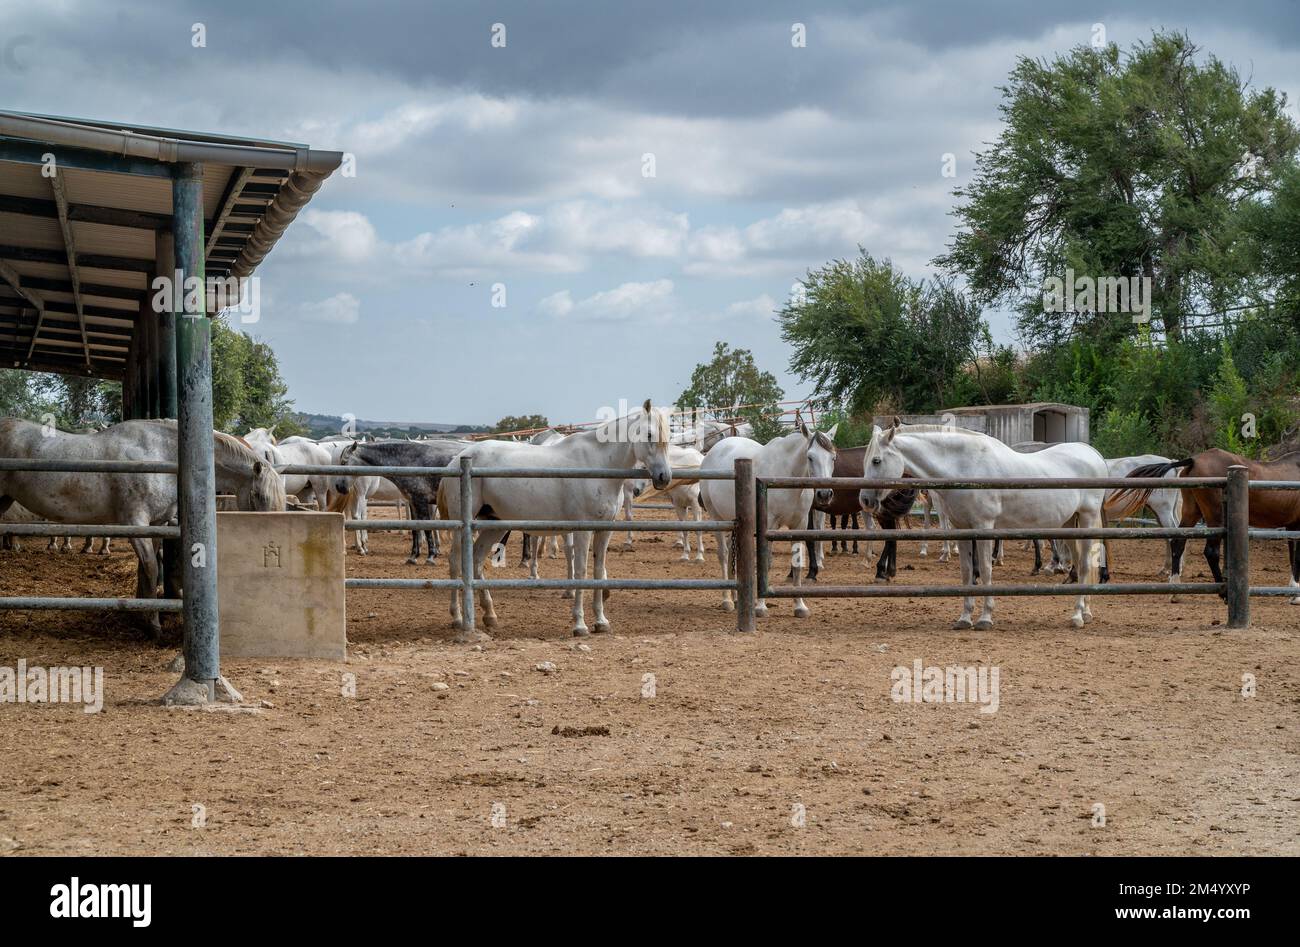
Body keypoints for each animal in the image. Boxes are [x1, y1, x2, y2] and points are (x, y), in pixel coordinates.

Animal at [0, 417, 285, 636]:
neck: (161, 453)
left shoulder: (156, 524)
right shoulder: (135, 522)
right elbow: (150, 568)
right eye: (260, 496)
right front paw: (153, 624)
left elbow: (147, 568)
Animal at [438, 400, 673, 639]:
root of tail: (458, 459)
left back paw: (489, 615)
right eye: (650, 434)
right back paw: (458, 618)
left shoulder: (605, 529)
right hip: (462, 526)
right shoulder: (583, 530)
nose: (664, 477)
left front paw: (601, 622)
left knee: (476, 560)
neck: (598, 464)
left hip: (494, 524)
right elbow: (581, 571)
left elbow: (598, 571)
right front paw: (580, 625)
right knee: (455, 562)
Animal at [699, 422, 837, 618]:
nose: (824, 494)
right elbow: (766, 563)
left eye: (833, 458)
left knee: (732, 554)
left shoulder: (799, 525)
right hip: (716, 518)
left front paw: (800, 606)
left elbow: (797, 565)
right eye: (810, 457)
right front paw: (760, 607)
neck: (786, 475)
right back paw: (727, 601)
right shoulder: (768, 525)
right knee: (724, 554)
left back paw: (736, 598)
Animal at [858, 421, 1107, 629]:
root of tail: (1093, 454)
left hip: (1087, 519)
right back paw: (1086, 612)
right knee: (1079, 564)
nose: (865, 500)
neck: (964, 466)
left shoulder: (984, 526)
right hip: (1069, 523)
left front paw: (985, 618)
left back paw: (1077, 615)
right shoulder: (962, 530)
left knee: (1086, 565)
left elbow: (986, 570)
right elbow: (967, 572)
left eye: (876, 461)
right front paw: (965, 617)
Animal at [1107, 448, 1300, 604]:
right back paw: (1224, 593)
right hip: (1214, 516)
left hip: (1190, 512)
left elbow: (1293, 557)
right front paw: (1295, 594)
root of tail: (1194, 460)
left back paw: (1175, 590)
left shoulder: (1291, 527)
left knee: (1177, 542)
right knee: (1210, 552)